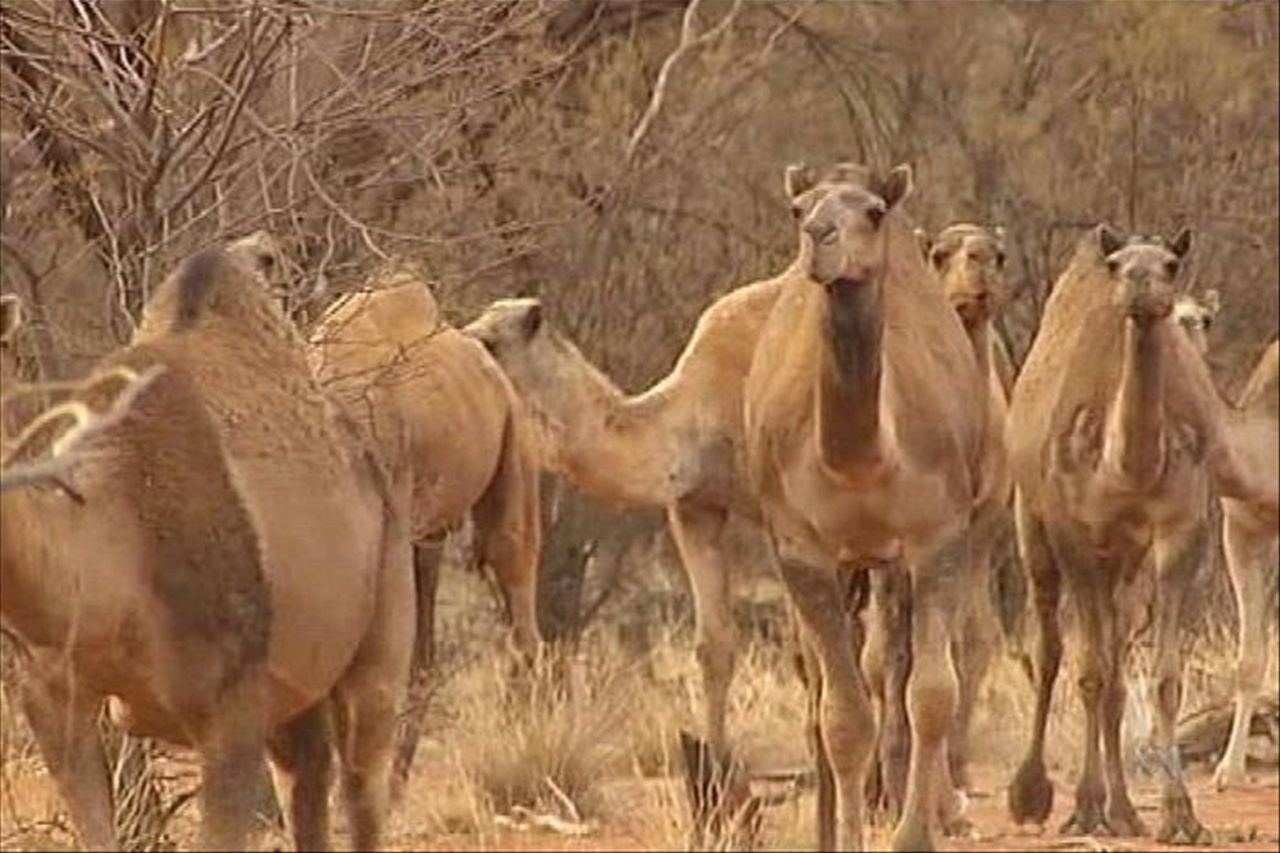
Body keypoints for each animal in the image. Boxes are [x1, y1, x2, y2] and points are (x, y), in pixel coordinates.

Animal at [0, 244, 414, 851]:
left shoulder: (232, 709)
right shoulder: (52, 698)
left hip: (382, 616)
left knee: (363, 783)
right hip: (294, 690)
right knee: (308, 777)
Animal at [742, 161, 989, 851]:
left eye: (874, 213)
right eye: (798, 209)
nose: (821, 239)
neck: (863, 459)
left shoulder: (939, 536)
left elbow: (931, 693)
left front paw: (915, 834)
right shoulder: (799, 549)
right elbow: (844, 717)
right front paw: (848, 837)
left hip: (887, 562)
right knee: (819, 692)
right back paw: (828, 827)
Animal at [1005, 225, 1277, 843]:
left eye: (1171, 265)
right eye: (1119, 264)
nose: (1140, 286)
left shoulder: (1183, 535)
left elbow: (1163, 679)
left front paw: (1180, 814)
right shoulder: (1088, 539)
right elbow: (1092, 672)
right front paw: (1087, 807)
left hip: (1125, 565)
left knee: (1113, 665)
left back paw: (1125, 810)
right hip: (1035, 527)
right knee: (1054, 649)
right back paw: (1038, 797)